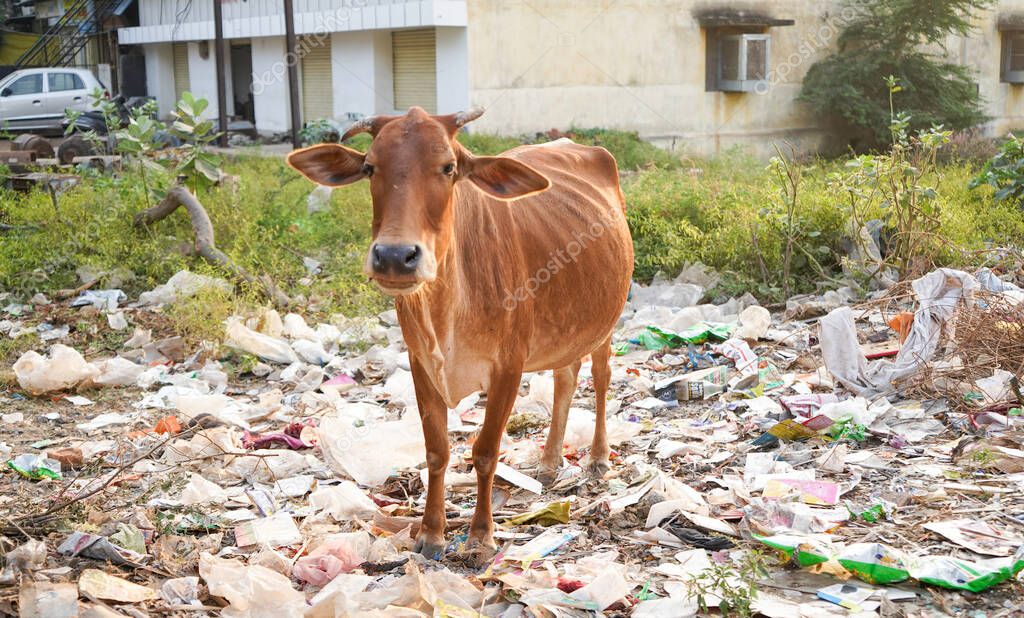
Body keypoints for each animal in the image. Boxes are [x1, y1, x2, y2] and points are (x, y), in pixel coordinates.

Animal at [287, 107, 633, 559]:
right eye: (369, 167)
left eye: (448, 167)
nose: (395, 256)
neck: (446, 307)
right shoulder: (421, 363)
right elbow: (437, 451)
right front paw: (431, 533)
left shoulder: (508, 367)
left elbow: (485, 451)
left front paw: (481, 534)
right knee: (565, 377)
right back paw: (549, 460)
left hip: (606, 321)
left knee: (601, 378)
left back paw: (597, 457)